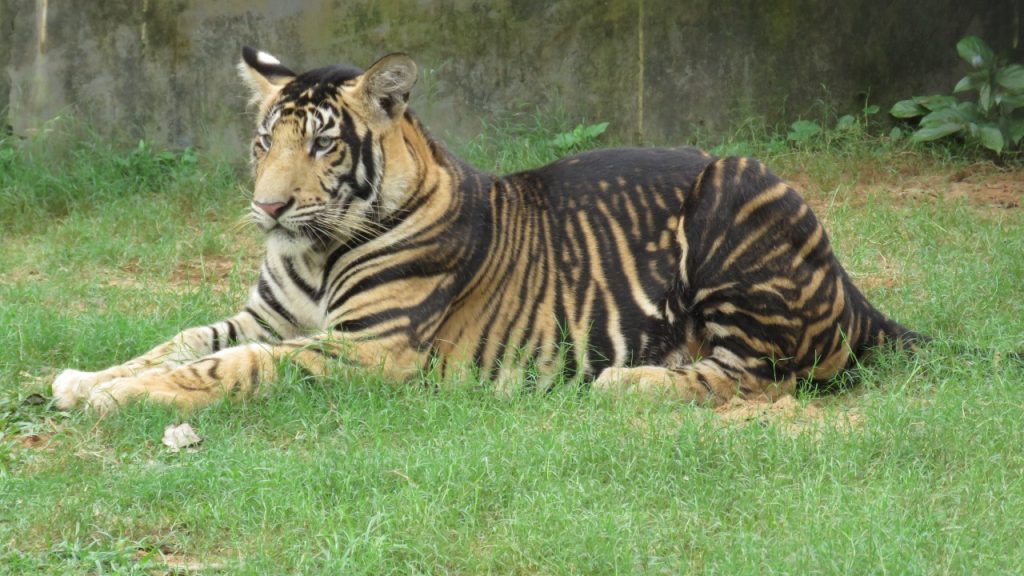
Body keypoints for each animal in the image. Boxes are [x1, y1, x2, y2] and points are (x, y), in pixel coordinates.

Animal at [52, 47, 924, 413]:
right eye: (266, 141)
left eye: (324, 145)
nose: (267, 209)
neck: (316, 248)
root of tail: (850, 288)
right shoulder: (267, 314)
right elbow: (185, 340)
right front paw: (85, 378)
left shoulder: (372, 346)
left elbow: (233, 365)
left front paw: (113, 397)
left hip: (737, 188)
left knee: (763, 374)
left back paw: (627, 381)